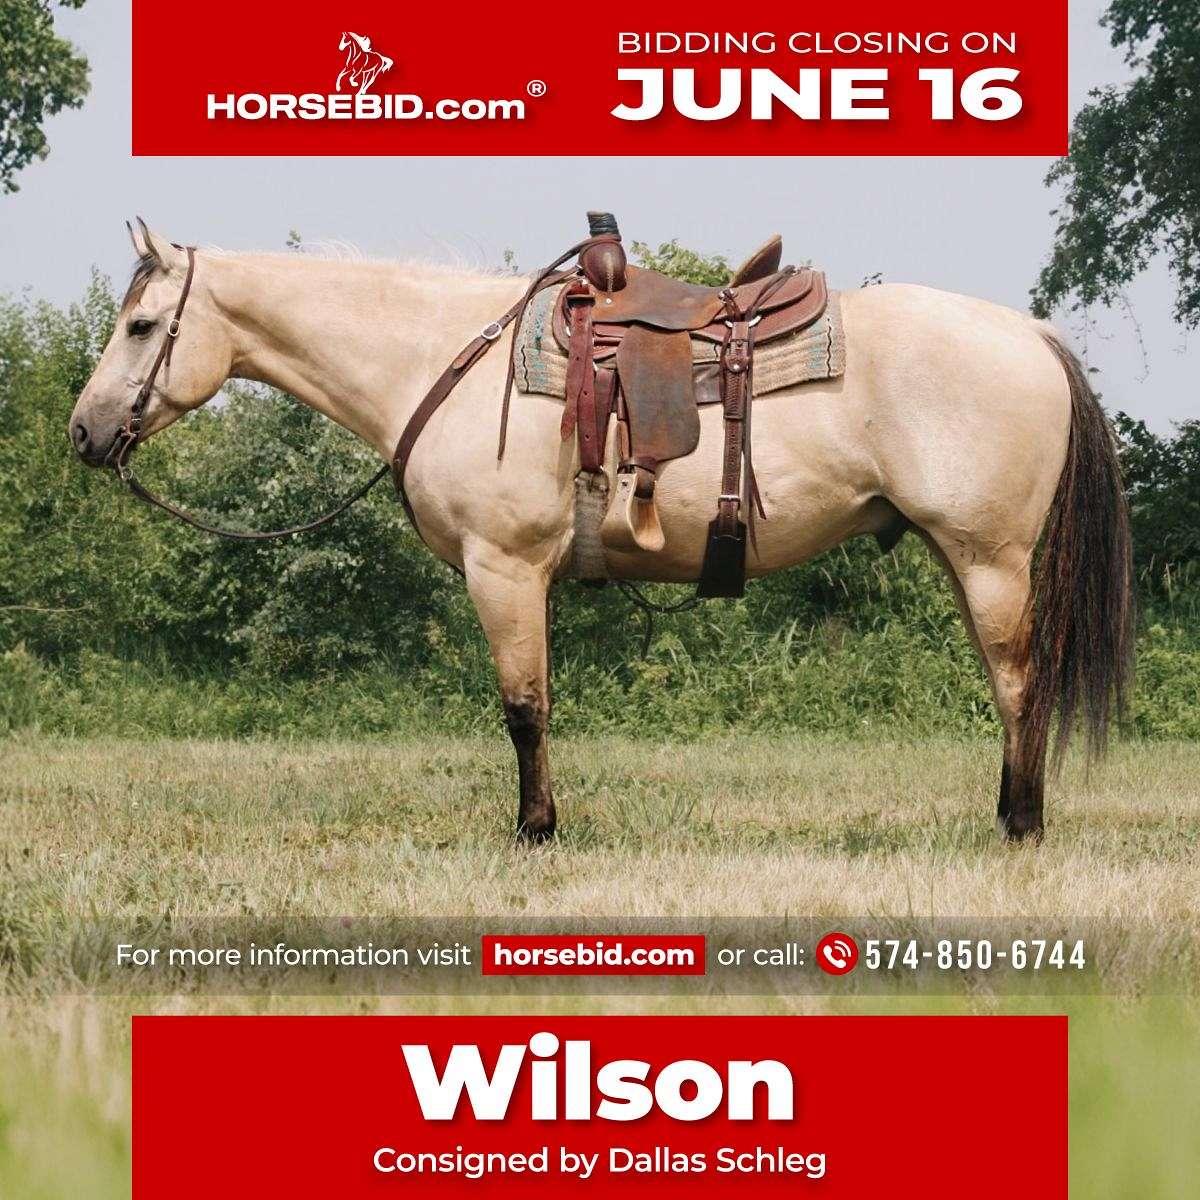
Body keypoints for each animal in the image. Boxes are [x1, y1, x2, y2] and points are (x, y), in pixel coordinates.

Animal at [69, 221, 1134, 845]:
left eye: (140, 326)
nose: (84, 432)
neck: (437, 359)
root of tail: (1034, 335)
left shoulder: (503, 571)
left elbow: (524, 709)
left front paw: (536, 831)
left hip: (990, 559)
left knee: (1019, 685)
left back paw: (1022, 827)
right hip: (966, 560)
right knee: (1010, 688)